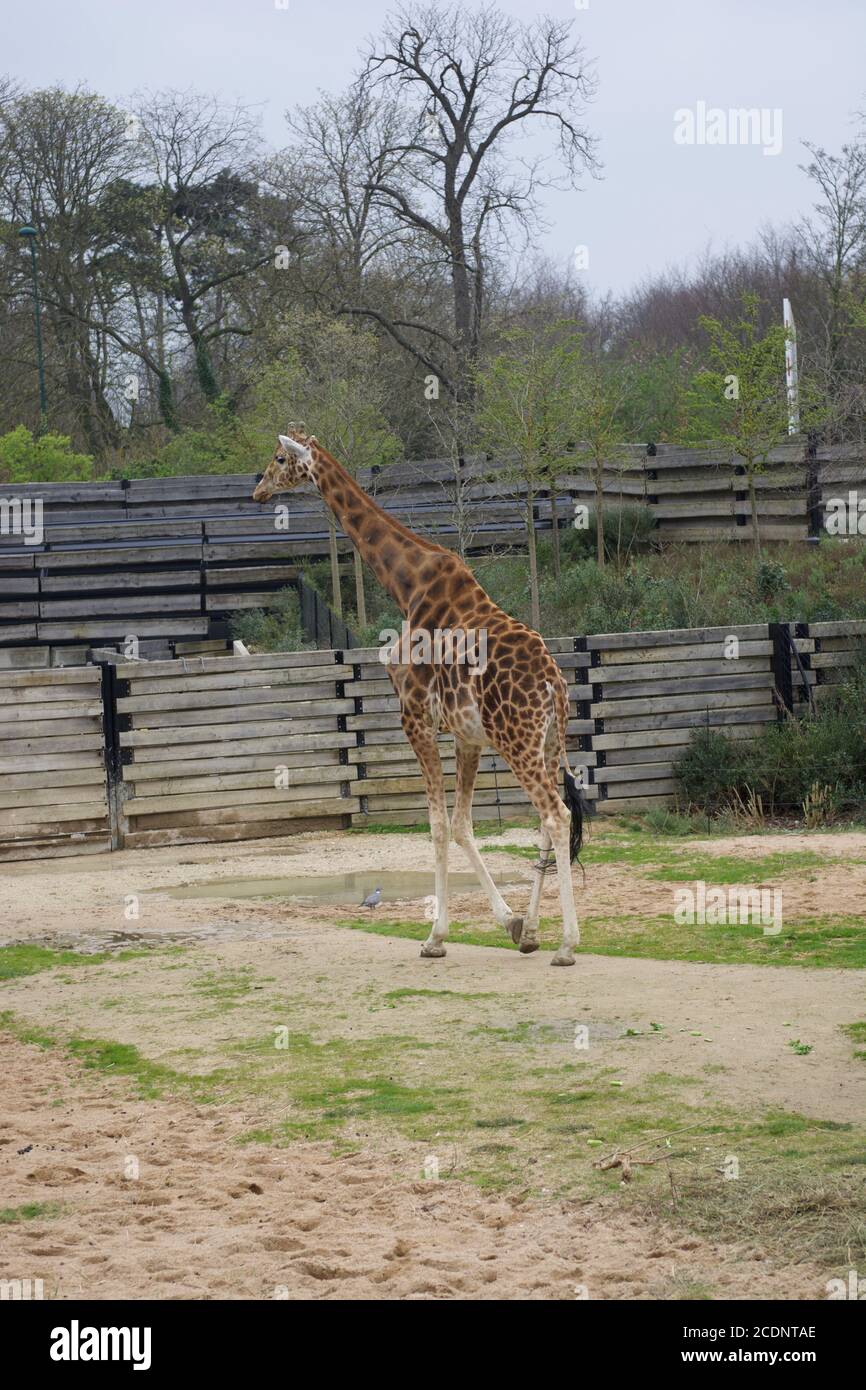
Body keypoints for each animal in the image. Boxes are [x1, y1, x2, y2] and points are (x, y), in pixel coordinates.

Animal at [253, 429, 587, 966]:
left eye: (281, 458)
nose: (258, 490)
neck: (405, 585)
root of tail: (554, 685)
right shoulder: (468, 736)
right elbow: (462, 824)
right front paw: (514, 924)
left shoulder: (413, 716)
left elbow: (436, 826)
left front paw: (435, 937)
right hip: (550, 742)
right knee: (548, 817)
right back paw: (539, 932)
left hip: (517, 742)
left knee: (556, 816)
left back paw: (567, 945)